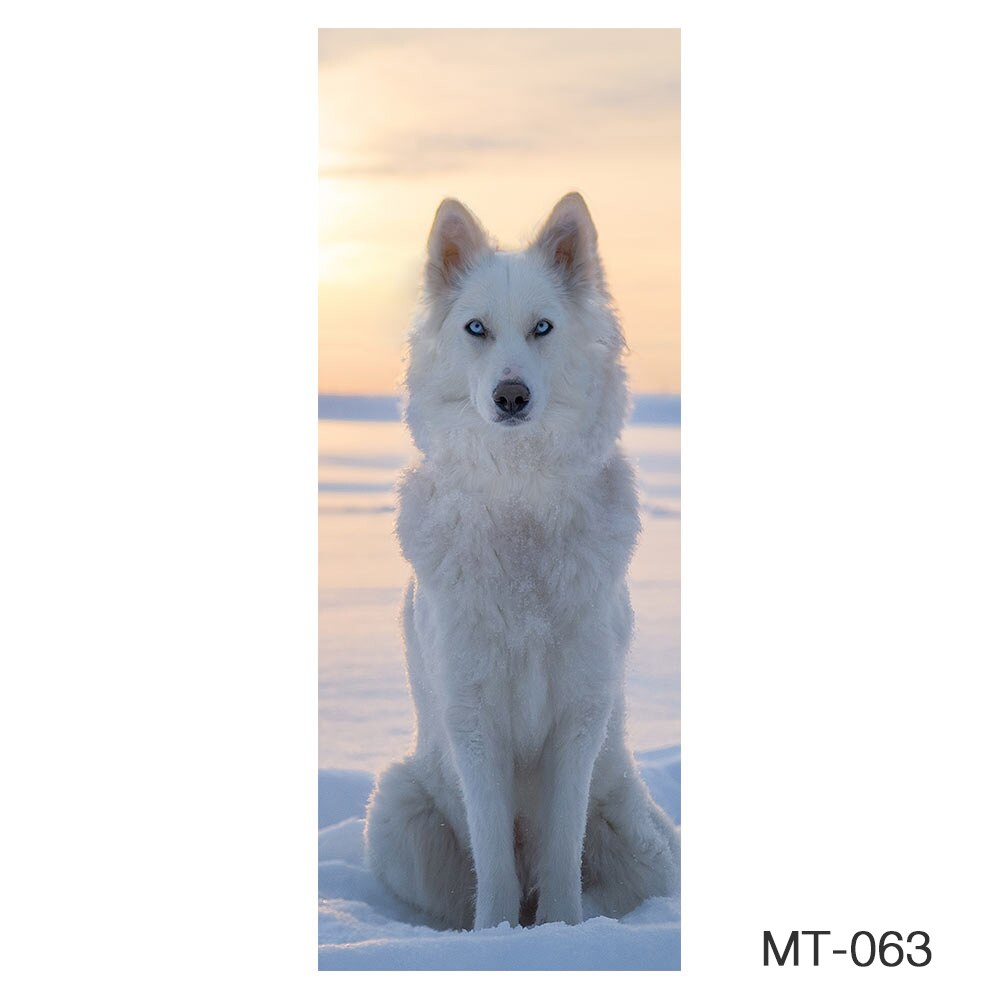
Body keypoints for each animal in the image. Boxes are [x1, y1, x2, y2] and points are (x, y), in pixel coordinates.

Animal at [364, 193, 680, 930]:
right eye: (476, 328)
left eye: (543, 328)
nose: (511, 396)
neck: (521, 502)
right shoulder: (473, 718)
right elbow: (496, 862)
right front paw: (498, 937)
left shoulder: (579, 715)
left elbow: (563, 852)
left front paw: (561, 932)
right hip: (397, 810)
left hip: (643, 841)